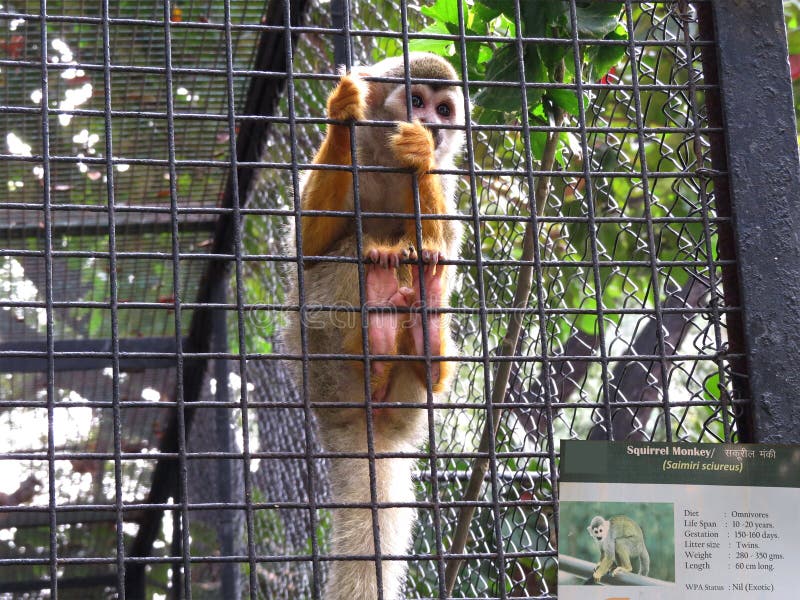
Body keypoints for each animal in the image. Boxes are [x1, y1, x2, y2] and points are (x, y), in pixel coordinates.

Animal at [281, 52, 465, 600]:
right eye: (416, 100)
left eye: (444, 110)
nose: (431, 125)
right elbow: (308, 246)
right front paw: (343, 108)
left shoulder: (448, 178)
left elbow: (443, 253)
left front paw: (419, 153)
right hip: (317, 362)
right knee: (346, 257)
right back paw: (378, 339)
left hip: (415, 405)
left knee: (415, 262)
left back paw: (423, 346)